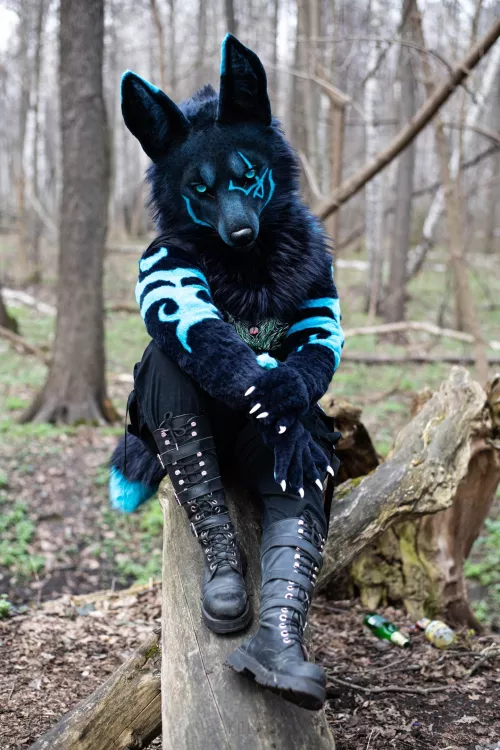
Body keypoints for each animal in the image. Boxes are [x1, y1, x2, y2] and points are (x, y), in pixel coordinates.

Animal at [111, 34, 344, 710]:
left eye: (247, 176)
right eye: (200, 188)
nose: (240, 229)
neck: (251, 265)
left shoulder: (320, 305)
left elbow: (313, 355)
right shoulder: (169, 281)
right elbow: (210, 341)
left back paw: (275, 660)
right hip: (166, 409)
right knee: (176, 393)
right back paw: (226, 589)